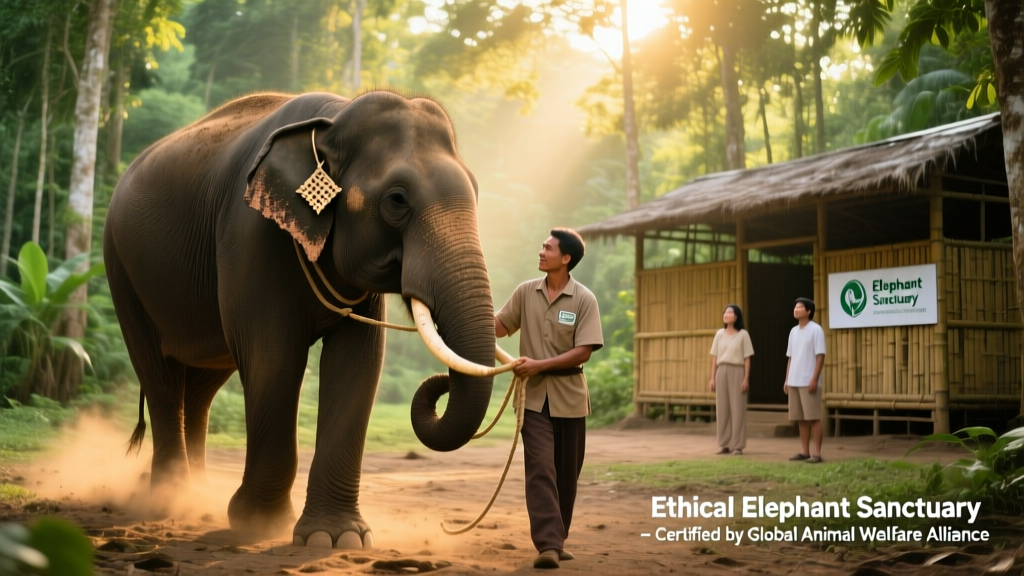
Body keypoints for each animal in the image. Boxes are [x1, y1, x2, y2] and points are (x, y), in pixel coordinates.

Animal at [103, 90, 498, 549]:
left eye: (476, 190)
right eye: (397, 199)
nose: (438, 384)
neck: (332, 120)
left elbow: (358, 363)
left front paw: (337, 538)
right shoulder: (250, 232)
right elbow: (274, 357)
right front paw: (257, 522)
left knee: (201, 387)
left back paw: (197, 500)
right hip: (120, 268)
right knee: (160, 376)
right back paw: (170, 501)